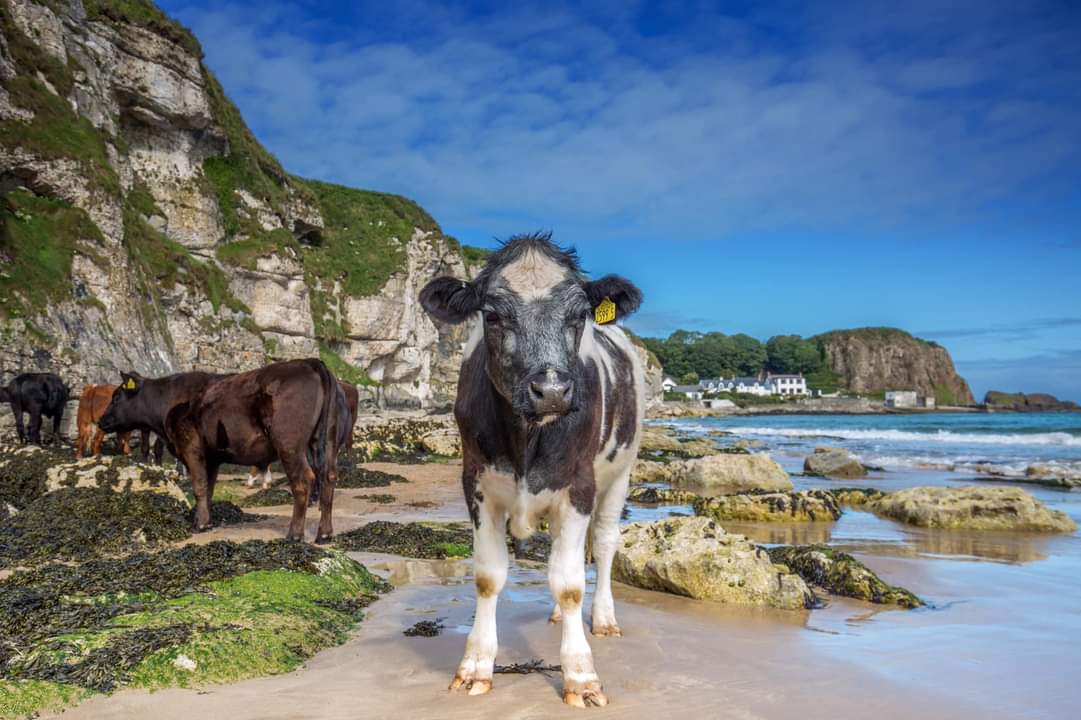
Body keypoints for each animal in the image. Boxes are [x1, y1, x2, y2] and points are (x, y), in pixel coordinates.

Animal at [158, 359, 339, 541]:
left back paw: (294, 535)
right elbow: (209, 488)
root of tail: (310, 362)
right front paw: (207, 521)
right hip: (328, 439)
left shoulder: (191, 448)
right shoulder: (213, 458)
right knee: (328, 477)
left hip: (289, 444)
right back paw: (324, 534)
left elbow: (199, 485)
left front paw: (200, 524)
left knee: (302, 480)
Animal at [419, 233, 644, 708]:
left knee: (604, 543)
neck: (527, 439)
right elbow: (489, 577)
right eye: (492, 315)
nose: (552, 390)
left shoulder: (578, 485)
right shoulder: (477, 483)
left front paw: (581, 675)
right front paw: (475, 666)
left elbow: (571, 582)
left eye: (579, 314)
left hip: (621, 472)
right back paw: (560, 616)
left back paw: (603, 617)